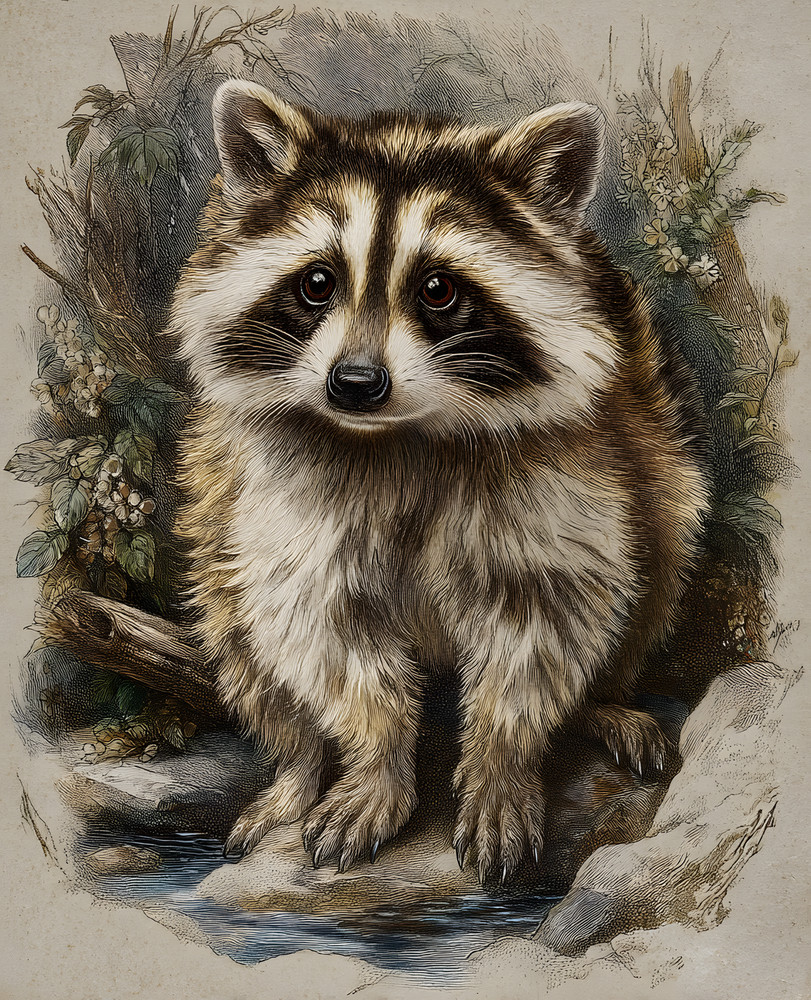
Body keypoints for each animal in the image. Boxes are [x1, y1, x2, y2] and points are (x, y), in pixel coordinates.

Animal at [171, 79, 709, 881]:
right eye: (316, 283)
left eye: (437, 290)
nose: (355, 383)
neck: (400, 436)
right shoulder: (285, 495)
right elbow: (328, 633)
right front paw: (374, 766)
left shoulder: (564, 480)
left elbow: (539, 628)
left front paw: (500, 767)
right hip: (217, 507)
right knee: (236, 626)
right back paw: (294, 771)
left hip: (655, 469)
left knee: (659, 549)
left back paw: (603, 702)